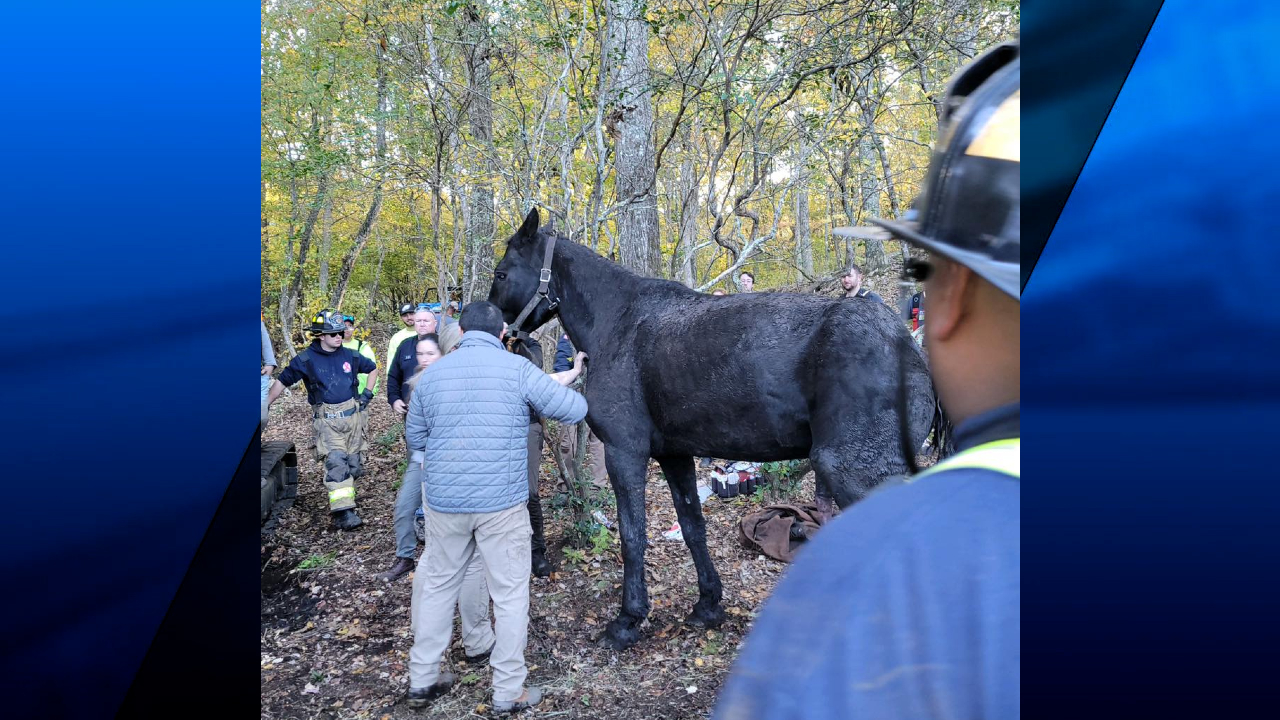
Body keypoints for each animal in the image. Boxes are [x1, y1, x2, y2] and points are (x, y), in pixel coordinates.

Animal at [488, 208, 939, 650]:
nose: (496, 332)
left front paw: (628, 620)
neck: (617, 322)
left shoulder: (624, 452)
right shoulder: (674, 455)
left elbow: (633, 536)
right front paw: (707, 604)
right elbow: (692, 527)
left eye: (501, 274)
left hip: (849, 470)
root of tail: (905, 343)